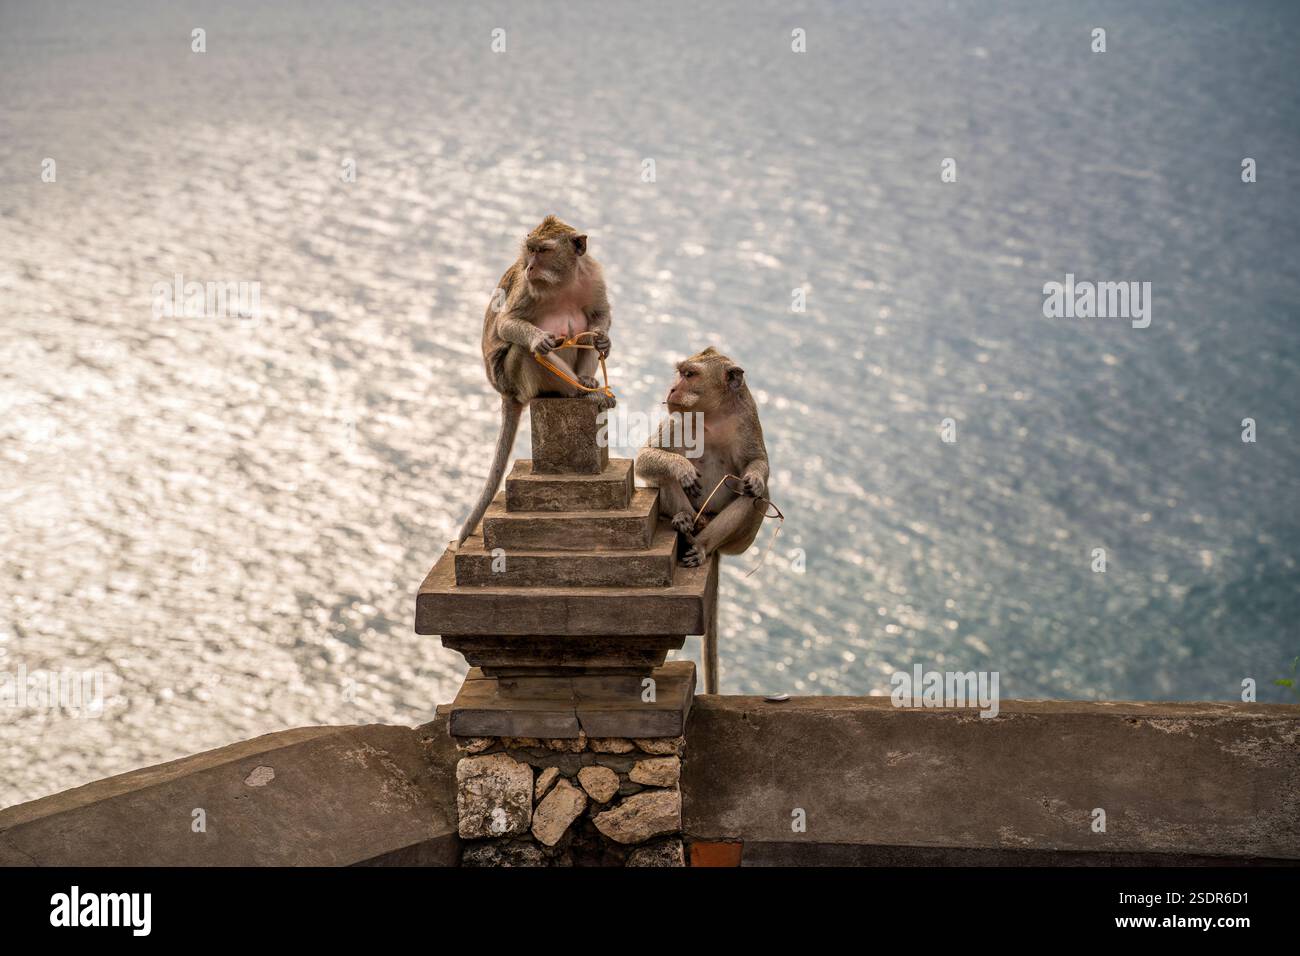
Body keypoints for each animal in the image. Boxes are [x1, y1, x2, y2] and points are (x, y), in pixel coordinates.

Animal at [455, 215, 615, 546]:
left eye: (542, 250)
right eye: (530, 250)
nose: (529, 267)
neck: (564, 282)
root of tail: (504, 392)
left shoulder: (593, 275)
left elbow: (599, 315)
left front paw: (604, 341)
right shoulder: (527, 289)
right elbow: (508, 325)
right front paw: (539, 339)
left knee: (583, 329)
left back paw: (588, 382)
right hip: (513, 378)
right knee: (526, 352)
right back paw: (577, 392)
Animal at [636, 347, 769, 568]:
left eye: (689, 375)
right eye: (681, 373)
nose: (672, 389)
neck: (711, 417)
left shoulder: (746, 419)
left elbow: (756, 461)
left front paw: (755, 479)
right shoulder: (676, 419)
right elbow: (644, 456)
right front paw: (682, 468)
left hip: (737, 542)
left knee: (755, 498)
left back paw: (700, 545)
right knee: (664, 474)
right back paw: (685, 519)